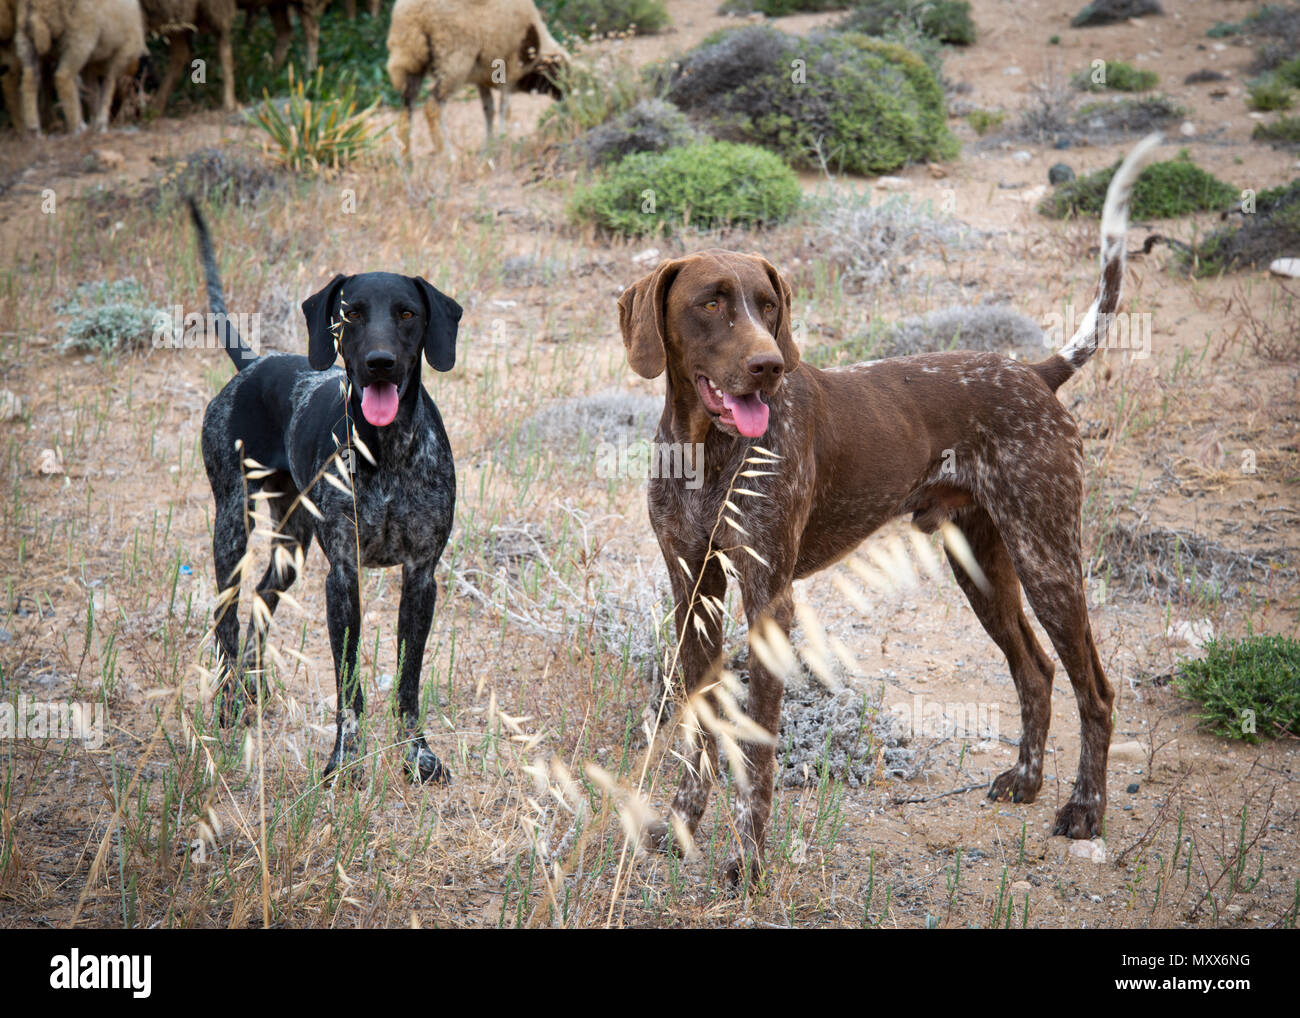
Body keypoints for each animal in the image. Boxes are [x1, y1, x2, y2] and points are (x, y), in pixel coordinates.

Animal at [15, 0, 147, 134]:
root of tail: (40, 6)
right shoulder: (122, 53)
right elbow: (108, 86)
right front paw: (101, 123)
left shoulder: (90, 64)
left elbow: (93, 90)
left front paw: (94, 120)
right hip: (79, 38)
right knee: (63, 76)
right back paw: (76, 128)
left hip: (25, 39)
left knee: (29, 80)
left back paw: (34, 129)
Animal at [386, 0, 567, 156]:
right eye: (559, 72)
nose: (566, 98)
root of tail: (415, 13)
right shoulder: (509, 69)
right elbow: (505, 108)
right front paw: (502, 142)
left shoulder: (482, 77)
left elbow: (489, 110)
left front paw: (489, 146)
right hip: (453, 62)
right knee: (432, 108)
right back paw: (447, 156)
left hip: (412, 60)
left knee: (406, 112)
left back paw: (407, 162)